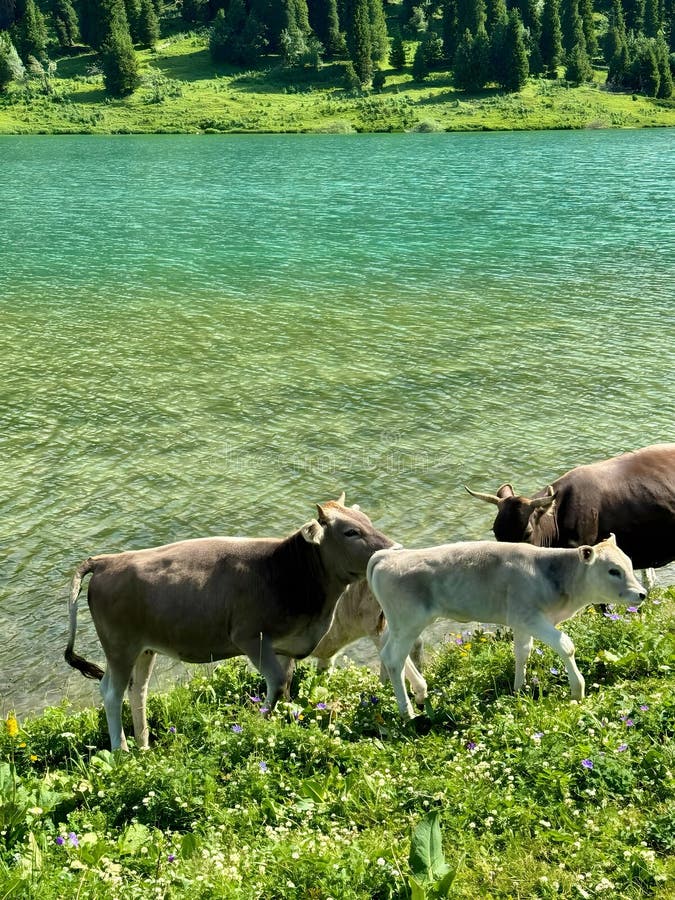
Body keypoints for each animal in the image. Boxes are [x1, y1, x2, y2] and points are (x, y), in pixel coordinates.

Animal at [65, 494, 397, 750]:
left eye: (366, 519)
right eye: (350, 532)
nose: (393, 548)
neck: (286, 572)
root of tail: (107, 560)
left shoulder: (285, 644)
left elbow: (287, 684)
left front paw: (286, 721)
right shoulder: (250, 637)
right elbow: (277, 684)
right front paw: (260, 724)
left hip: (143, 649)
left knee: (137, 691)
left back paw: (144, 746)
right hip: (120, 647)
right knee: (112, 693)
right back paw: (121, 751)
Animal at [367, 535, 646, 720]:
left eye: (630, 564)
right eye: (613, 570)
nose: (642, 593)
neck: (552, 575)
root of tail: (389, 556)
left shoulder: (521, 621)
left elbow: (523, 651)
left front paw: (519, 688)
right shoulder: (531, 617)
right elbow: (566, 645)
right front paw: (578, 690)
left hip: (398, 624)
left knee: (387, 649)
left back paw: (421, 692)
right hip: (409, 621)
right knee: (393, 658)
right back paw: (407, 712)